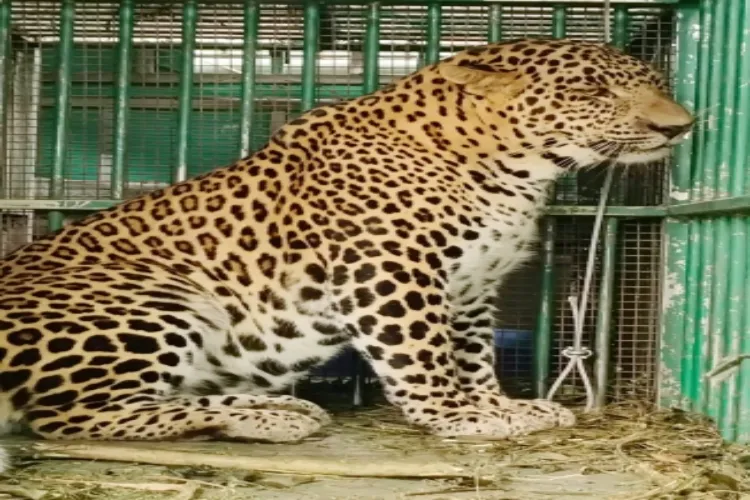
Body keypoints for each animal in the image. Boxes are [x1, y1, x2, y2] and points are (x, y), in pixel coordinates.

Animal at [0, 38, 693, 473]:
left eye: (658, 83)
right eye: (590, 89)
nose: (679, 126)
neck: (517, 171)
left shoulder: (471, 289)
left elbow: (473, 357)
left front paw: (496, 406)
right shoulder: (390, 271)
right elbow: (425, 360)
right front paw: (461, 419)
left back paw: (276, 408)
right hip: (156, 297)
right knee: (63, 417)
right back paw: (270, 420)